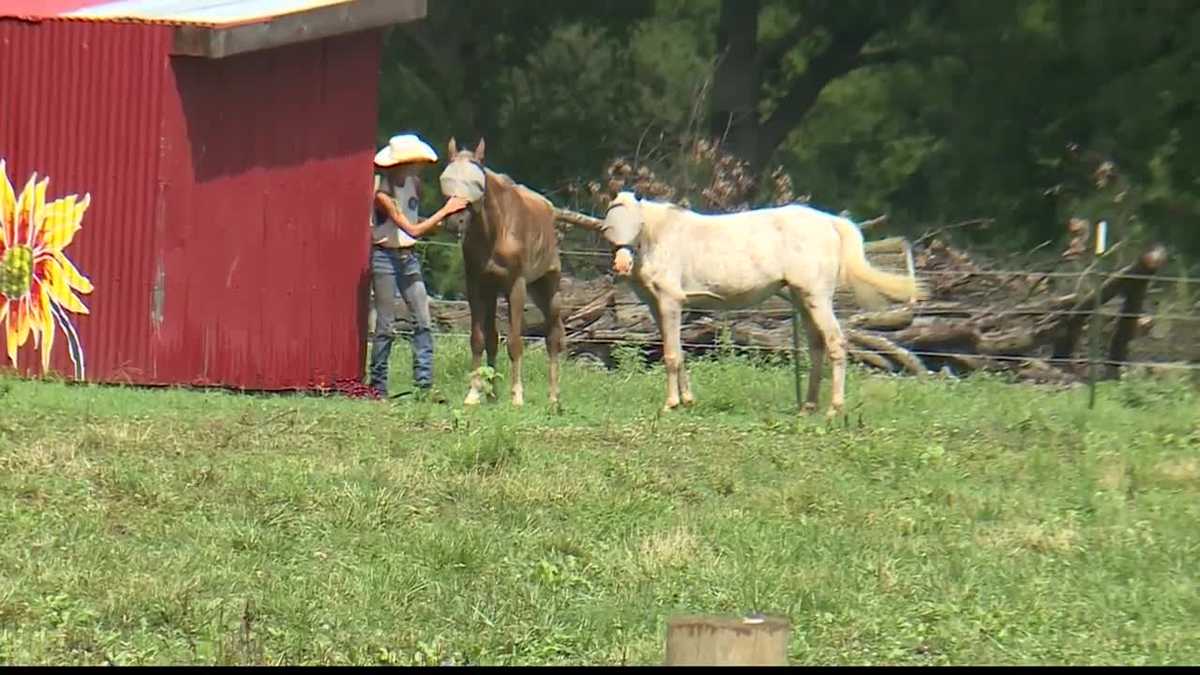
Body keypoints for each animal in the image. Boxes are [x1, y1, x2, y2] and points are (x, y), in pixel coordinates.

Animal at [438, 138, 565, 407]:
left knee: (553, 338)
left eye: (476, 182)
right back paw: (492, 394)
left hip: (547, 289)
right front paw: (475, 393)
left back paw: (553, 398)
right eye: (447, 178)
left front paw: (517, 396)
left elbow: (515, 341)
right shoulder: (477, 286)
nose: (454, 222)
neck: (497, 230)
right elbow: (480, 339)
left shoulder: (515, 286)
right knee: (493, 339)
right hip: (498, 293)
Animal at [601, 191, 925, 417]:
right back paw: (808, 407)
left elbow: (670, 354)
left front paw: (671, 404)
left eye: (637, 222)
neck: (660, 236)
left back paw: (835, 408)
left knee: (836, 342)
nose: (621, 264)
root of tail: (831, 222)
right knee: (816, 346)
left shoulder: (670, 301)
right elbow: (678, 352)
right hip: (802, 298)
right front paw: (688, 401)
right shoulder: (657, 306)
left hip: (817, 297)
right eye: (608, 226)